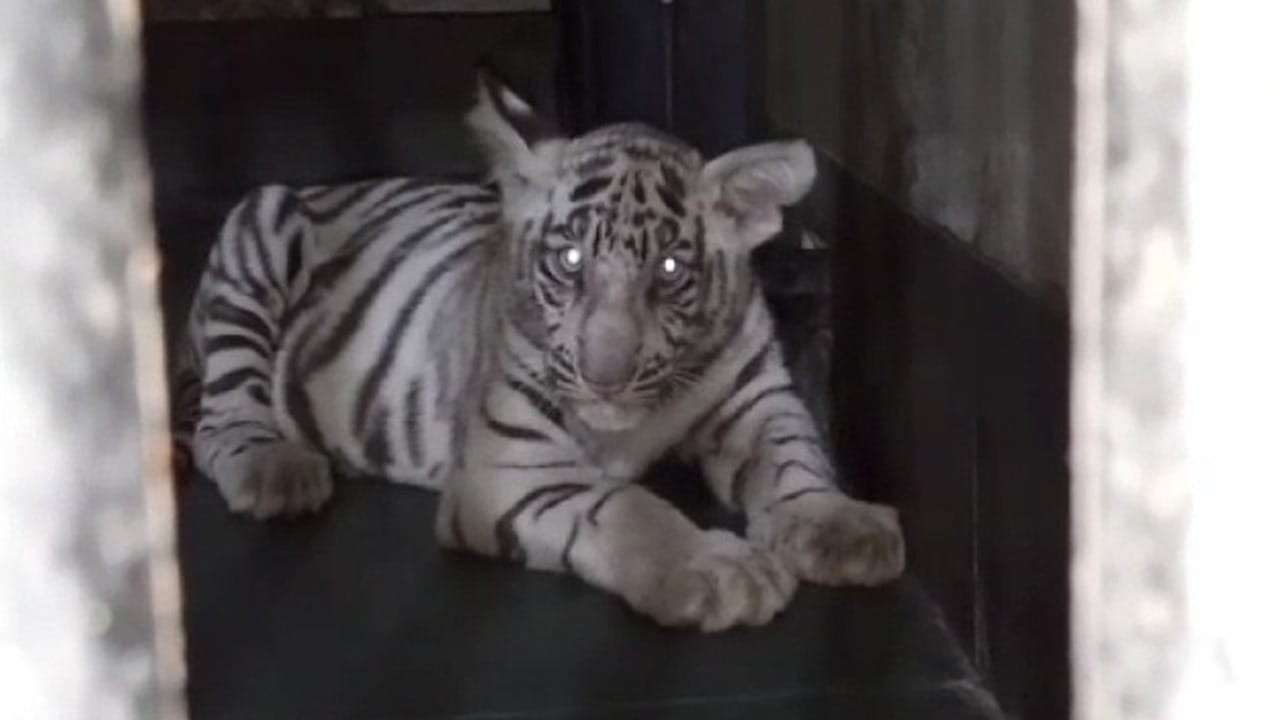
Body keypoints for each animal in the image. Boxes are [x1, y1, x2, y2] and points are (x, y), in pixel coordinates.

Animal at [172, 69, 906, 632]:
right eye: (571, 260)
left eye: (669, 269)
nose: (605, 379)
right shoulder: (509, 465)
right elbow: (627, 507)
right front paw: (714, 568)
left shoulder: (759, 401)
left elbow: (796, 459)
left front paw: (840, 526)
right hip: (259, 229)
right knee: (222, 418)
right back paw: (274, 468)